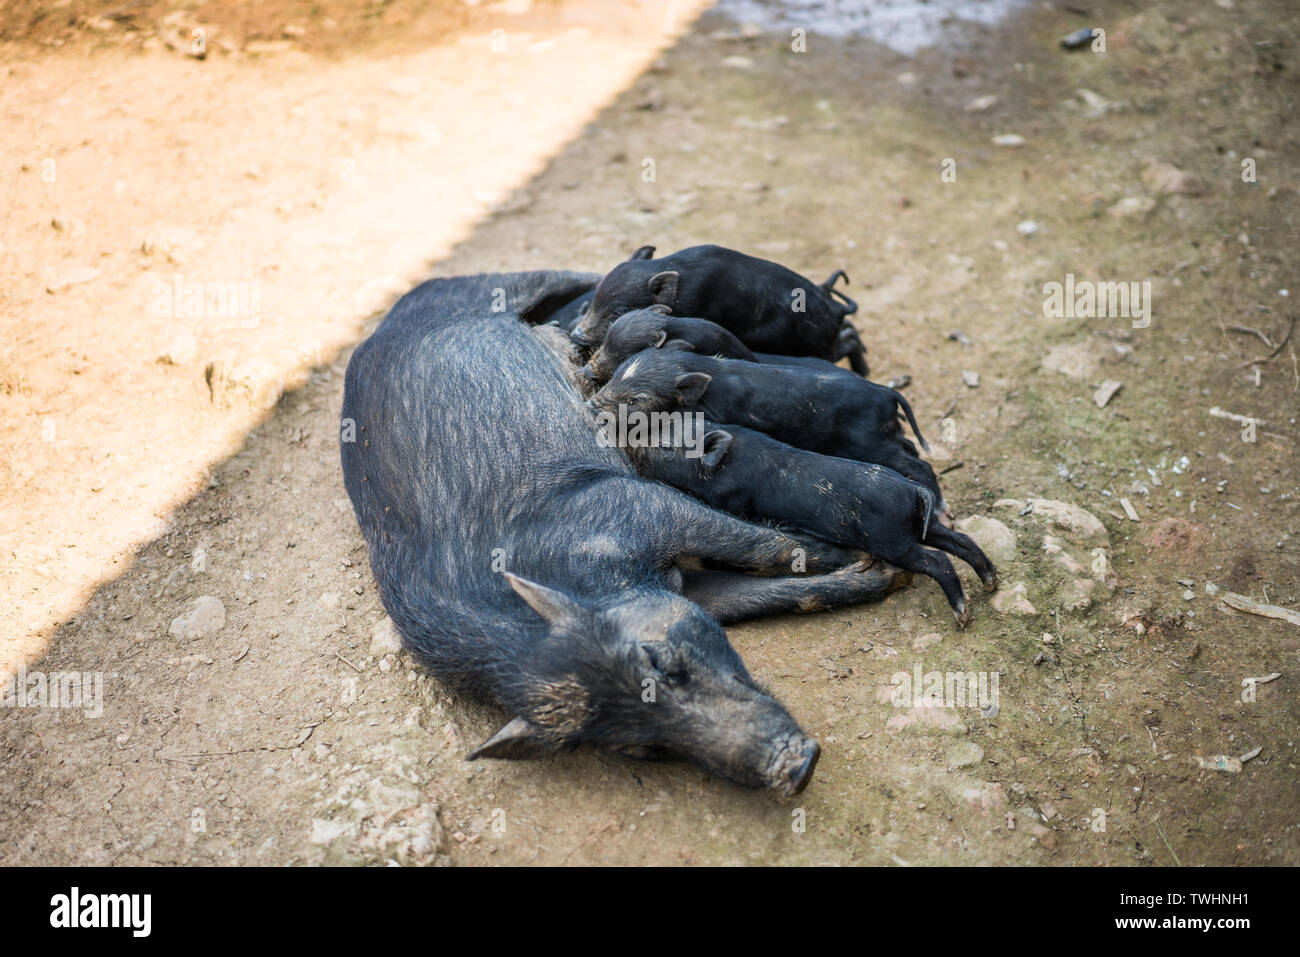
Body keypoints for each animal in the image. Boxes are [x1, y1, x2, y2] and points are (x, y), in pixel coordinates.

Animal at [341, 270, 908, 795]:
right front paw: (871, 572)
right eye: (643, 747)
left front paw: (866, 562)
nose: (796, 767)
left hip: (518, 282)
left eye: (662, 662)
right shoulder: (683, 589)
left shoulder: (637, 506)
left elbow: (762, 546)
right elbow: (756, 595)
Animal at [589, 346, 947, 518]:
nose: (592, 404)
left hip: (871, 442)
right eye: (616, 374)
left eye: (637, 399)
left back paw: (943, 510)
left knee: (919, 465)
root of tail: (886, 393)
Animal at [626, 423, 998, 627]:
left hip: (893, 541)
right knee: (961, 540)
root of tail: (912, 490)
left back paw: (962, 617)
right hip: (922, 527)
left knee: (937, 560)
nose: (634, 438)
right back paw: (992, 583)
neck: (728, 463)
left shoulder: (734, 503)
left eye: (667, 446)